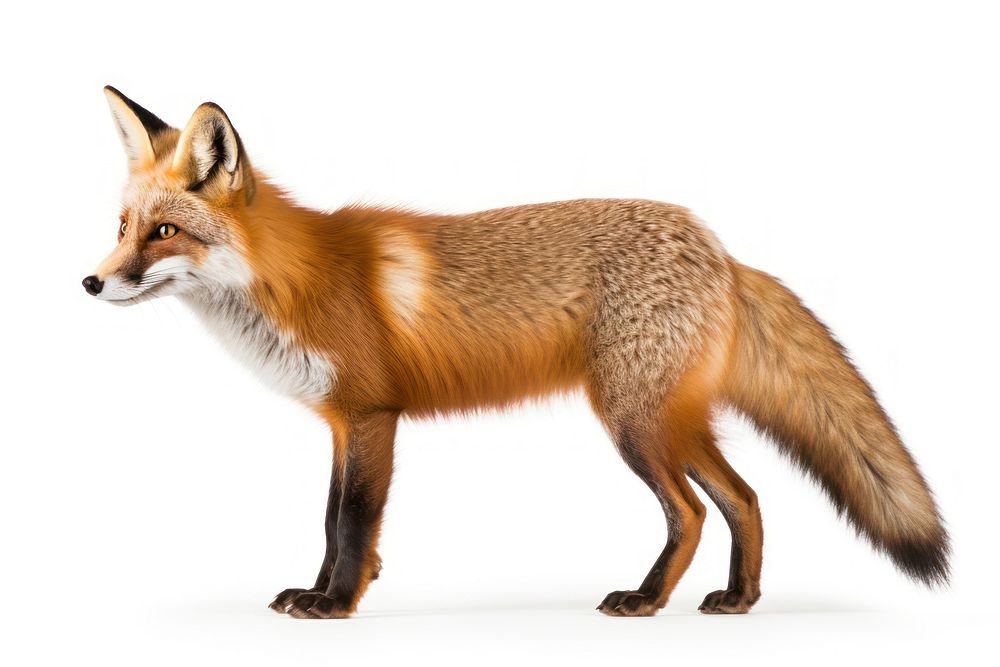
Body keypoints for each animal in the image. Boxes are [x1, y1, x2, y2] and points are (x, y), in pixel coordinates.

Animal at [85, 86, 949, 619]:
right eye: (124, 227)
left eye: (165, 232)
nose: (91, 282)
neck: (291, 280)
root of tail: (722, 252)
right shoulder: (340, 422)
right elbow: (334, 520)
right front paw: (333, 590)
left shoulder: (372, 414)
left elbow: (351, 521)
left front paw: (334, 604)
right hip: (670, 419)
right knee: (746, 498)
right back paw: (737, 600)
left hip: (634, 423)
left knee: (696, 510)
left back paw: (646, 600)